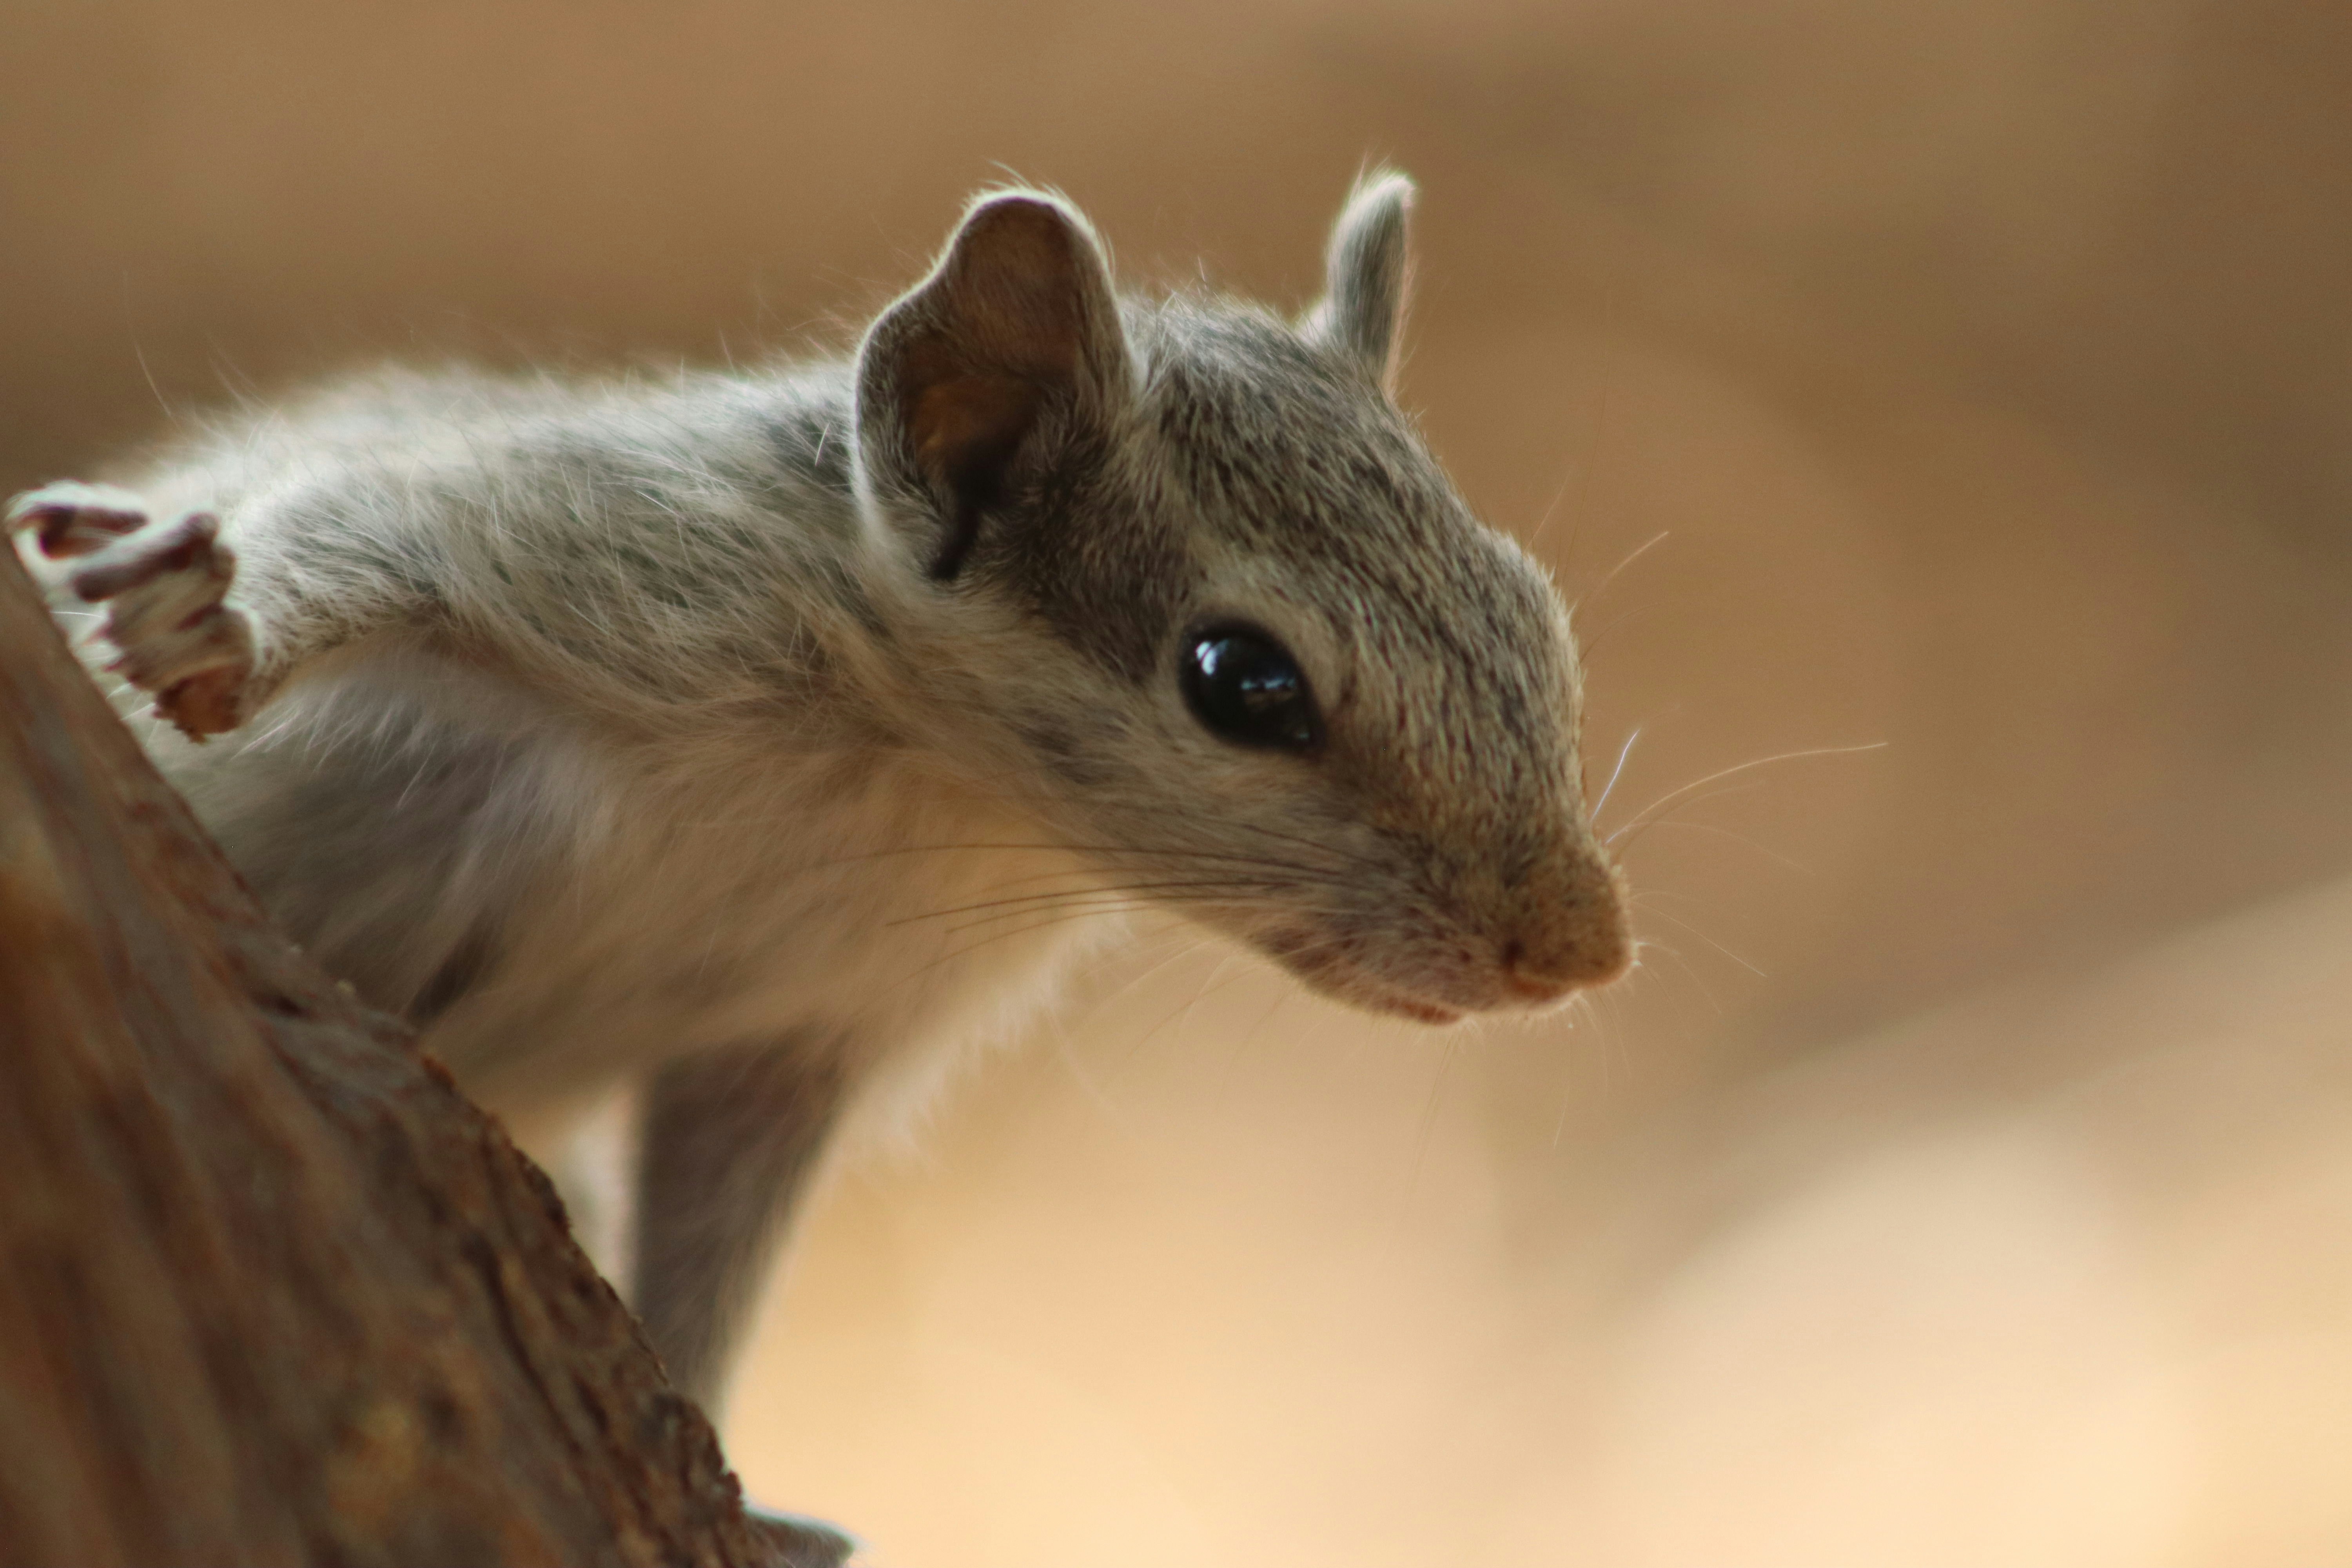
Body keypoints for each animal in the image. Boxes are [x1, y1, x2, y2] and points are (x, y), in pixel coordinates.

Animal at [10, 172, 1633, 1561]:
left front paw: (736, 1469)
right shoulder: (588, 545)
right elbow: (354, 533)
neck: (929, 788)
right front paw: (214, 618)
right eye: (1241, 681)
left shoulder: (789, 1044)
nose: (1582, 951)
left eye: (1534, 607)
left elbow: (711, 1249)